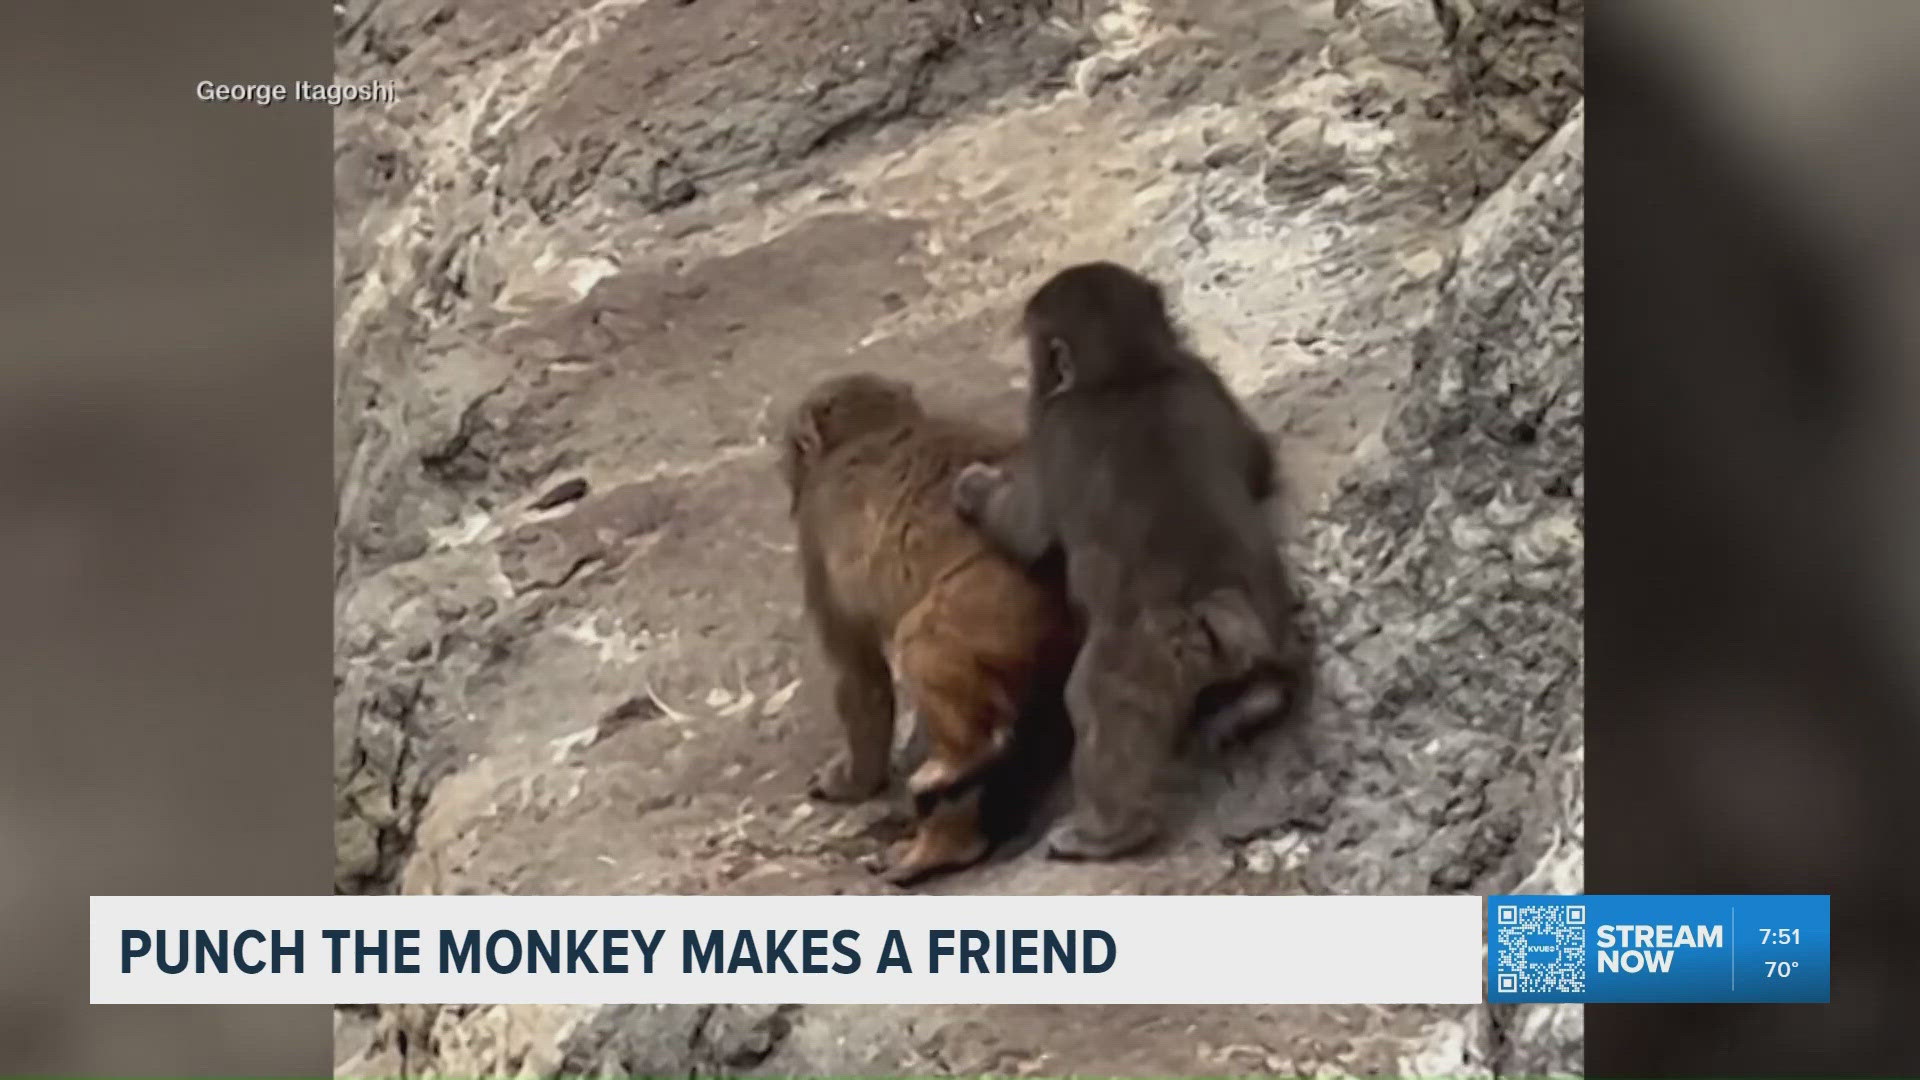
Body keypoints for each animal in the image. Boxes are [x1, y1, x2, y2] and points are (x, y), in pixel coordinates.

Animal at [779, 372, 1077, 883]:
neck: (870, 429)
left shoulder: (815, 541)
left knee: (923, 644)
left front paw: (852, 782)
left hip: (994, 599)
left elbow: (862, 678)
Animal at [940, 261, 1310, 862]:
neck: (1128, 370)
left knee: (1100, 711)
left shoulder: (1051, 428)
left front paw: (975, 490)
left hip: (1147, 658)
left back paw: (1107, 833)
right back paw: (1256, 701)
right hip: (1272, 622)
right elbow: (1259, 461)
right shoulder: (1203, 378)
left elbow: (1026, 528)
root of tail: (1211, 608)